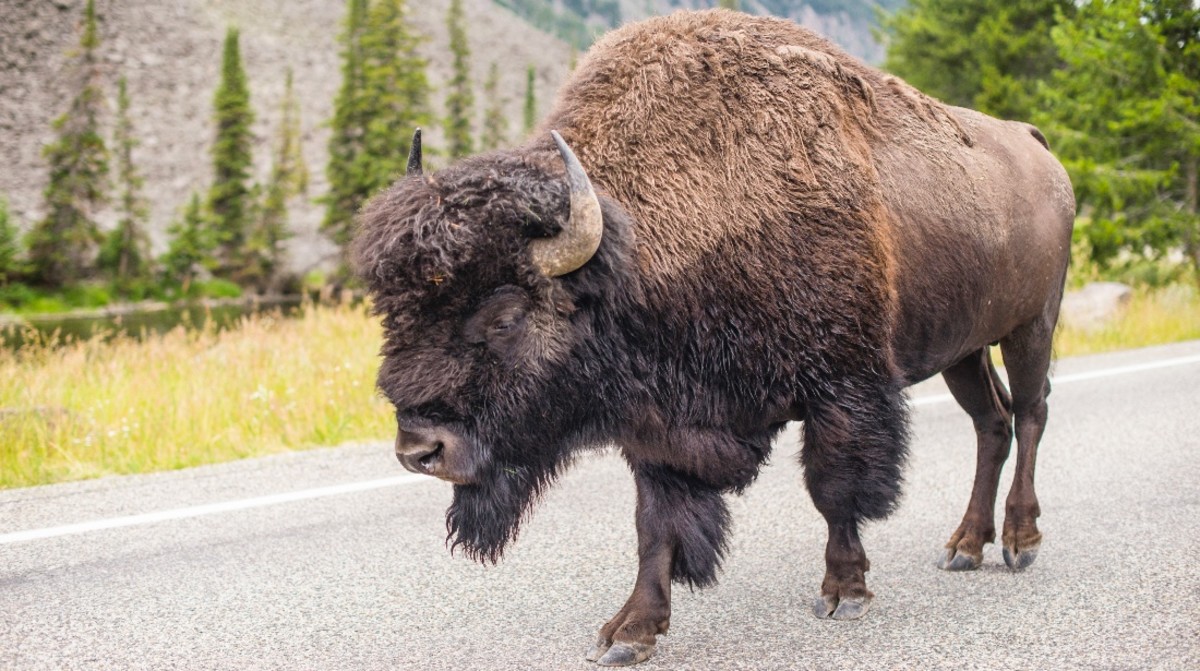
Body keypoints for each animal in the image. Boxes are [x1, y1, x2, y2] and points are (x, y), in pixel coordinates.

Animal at [353, 9, 1075, 667]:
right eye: (394, 314)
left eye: (506, 316)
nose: (419, 449)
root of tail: (1035, 143)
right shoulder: (658, 426)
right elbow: (655, 524)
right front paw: (630, 632)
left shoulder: (842, 388)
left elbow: (834, 488)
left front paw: (844, 591)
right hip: (965, 348)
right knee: (992, 422)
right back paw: (964, 546)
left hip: (1030, 324)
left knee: (1031, 412)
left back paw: (1019, 541)